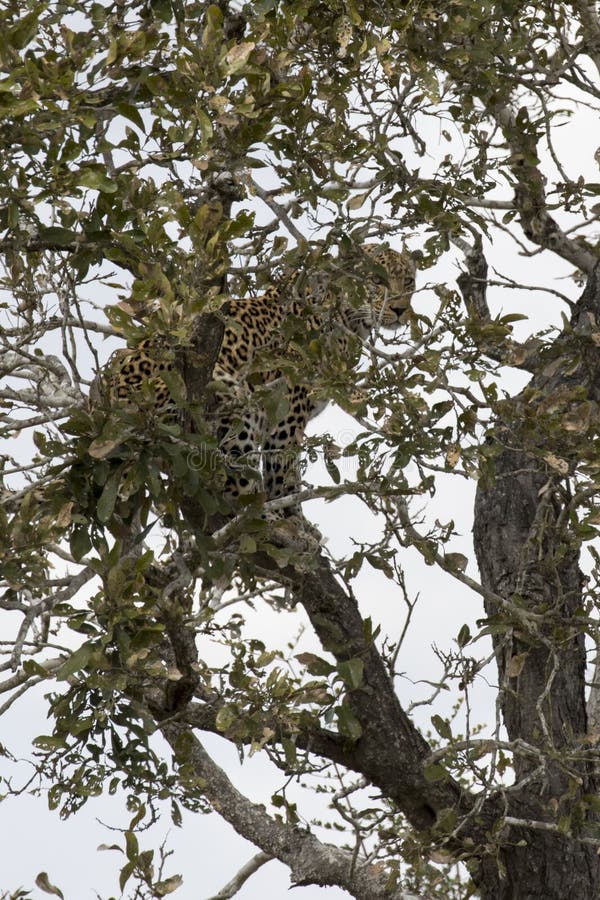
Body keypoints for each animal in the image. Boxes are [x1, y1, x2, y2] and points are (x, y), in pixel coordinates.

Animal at [95, 244, 416, 512]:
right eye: (376, 281)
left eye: (409, 282)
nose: (401, 310)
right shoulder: (287, 412)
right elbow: (284, 474)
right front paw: (292, 521)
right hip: (224, 393)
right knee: (234, 482)